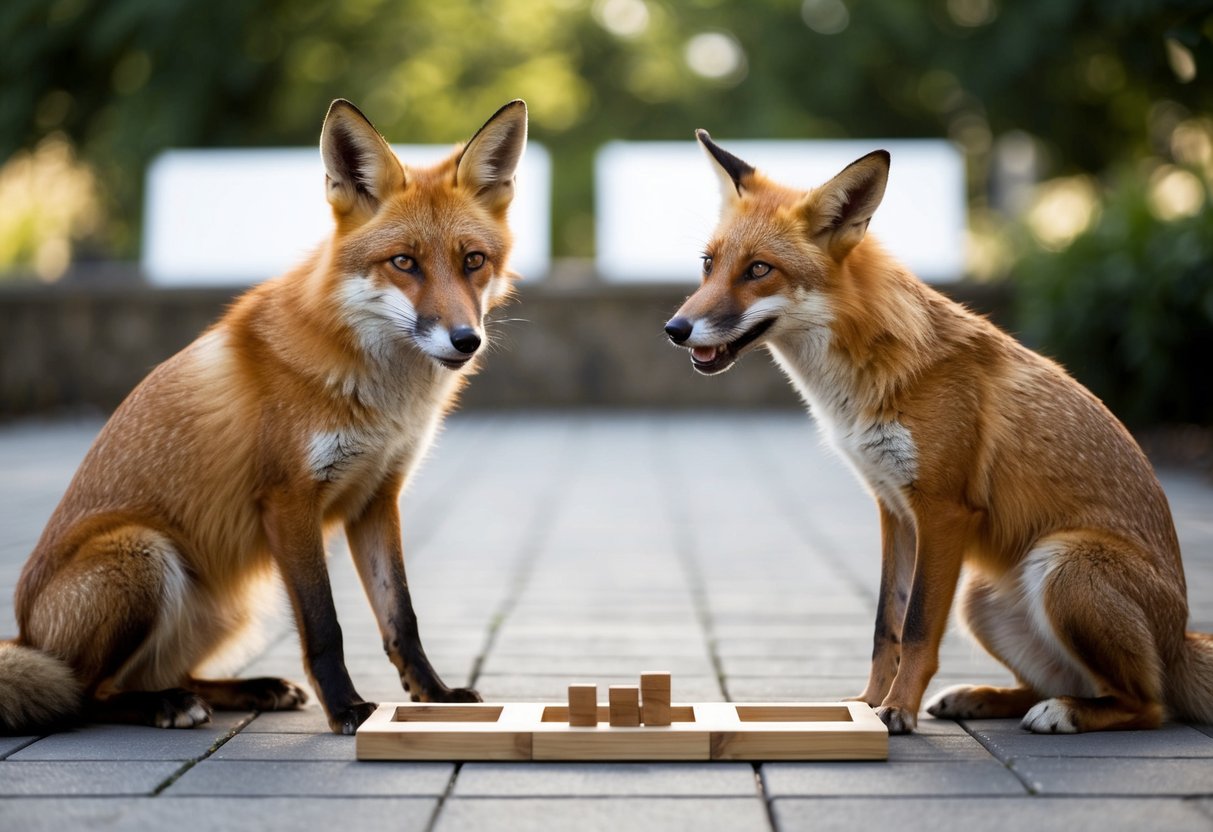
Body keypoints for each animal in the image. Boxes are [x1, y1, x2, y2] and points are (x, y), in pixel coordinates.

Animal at [0, 98, 528, 735]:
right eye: (404, 262)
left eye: (473, 261)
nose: (465, 340)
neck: (381, 398)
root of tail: (26, 635)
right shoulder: (288, 500)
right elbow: (325, 627)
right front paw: (347, 708)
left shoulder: (376, 498)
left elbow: (402, 617)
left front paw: (435, 695)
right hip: (143, 554)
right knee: (87, 693)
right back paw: (164, 705)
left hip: (230, 607)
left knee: (165, 673)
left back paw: (247, 689)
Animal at [664, 131, 1213, 734]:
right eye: (708, 264)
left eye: (759, 270)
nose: (674, 329)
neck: (864, 378)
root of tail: (1181, 638)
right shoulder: (893, 509)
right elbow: (886, 625)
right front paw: (866, 705)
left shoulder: (944, 510)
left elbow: (918, 628)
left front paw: (896, 711)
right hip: (982, 598)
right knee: (1053, 682)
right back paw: (984, 697)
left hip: (1062, 565)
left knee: (1147, 704)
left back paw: (1066, 713)